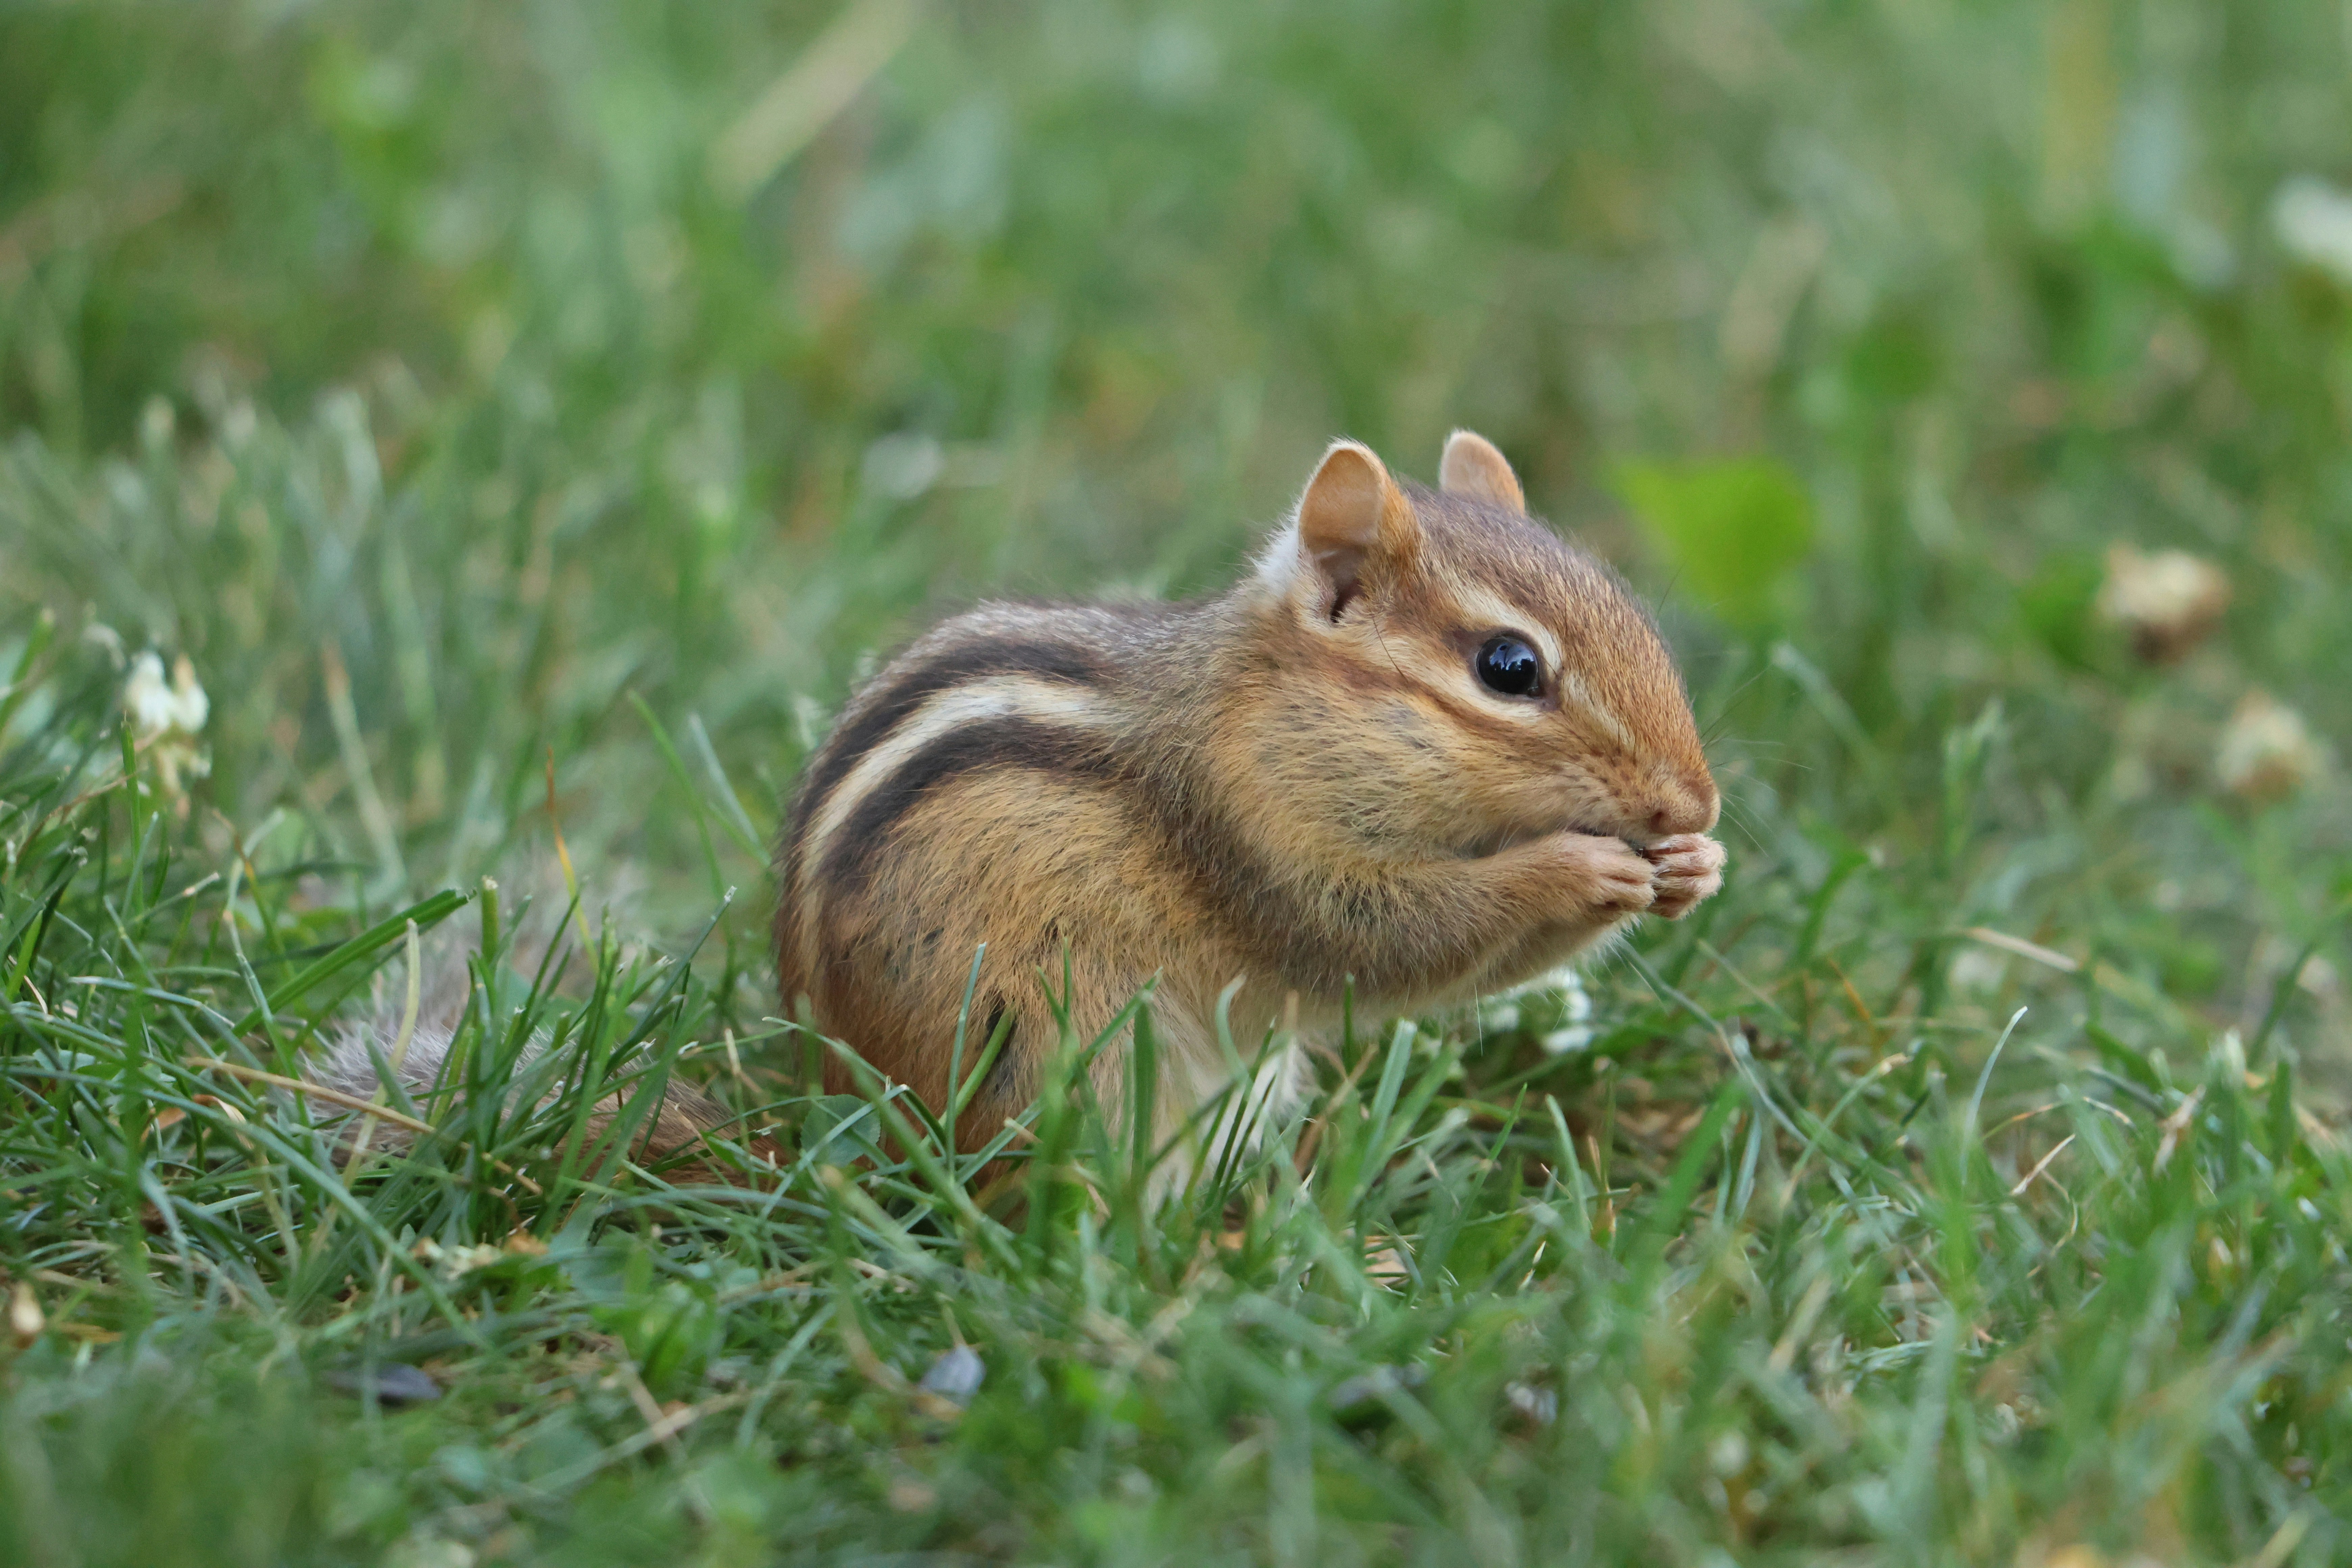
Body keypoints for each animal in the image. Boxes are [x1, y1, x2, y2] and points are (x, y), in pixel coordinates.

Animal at [316, 432, 1721, 1185]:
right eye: (1508, 668)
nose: (1691, 795)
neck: (1271, 707)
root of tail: (849, 1131)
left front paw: (1694, 863)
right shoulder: (1258, 837)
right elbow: (1387, 940)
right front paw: (1580, 872)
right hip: (1071, 1056)